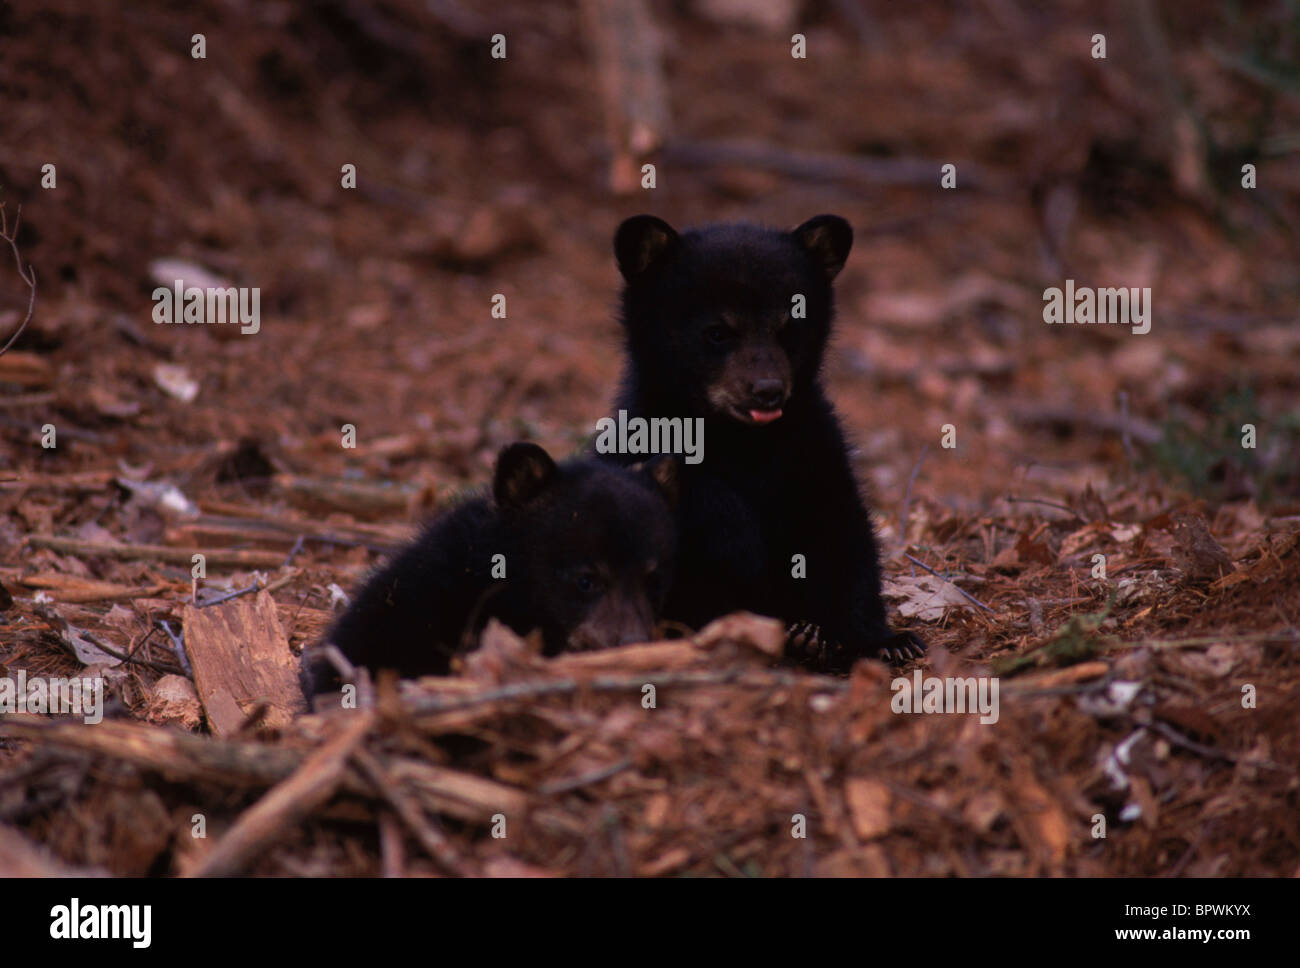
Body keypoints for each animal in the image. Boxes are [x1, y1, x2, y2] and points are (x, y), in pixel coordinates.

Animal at [600, 213, 922, 671]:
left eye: (789, 327)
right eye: (717, 332)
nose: (767, 390)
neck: (740, 439)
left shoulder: (814, 447)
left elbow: (844, 533)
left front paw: (885, 640)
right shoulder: (643, 438)